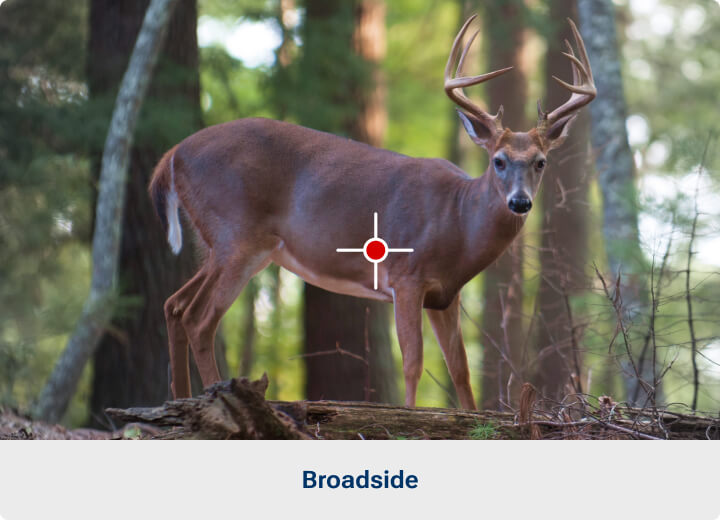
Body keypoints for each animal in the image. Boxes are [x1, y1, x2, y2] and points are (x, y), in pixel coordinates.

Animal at [148, 15, 595, 410]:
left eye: (541, 162)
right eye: (498, 161)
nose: (520, 202)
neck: (458, 220)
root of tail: (172, 155)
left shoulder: (445, 295)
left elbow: (460, 369)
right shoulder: (407, 275)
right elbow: (413, 362)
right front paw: (411, 414)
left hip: (224, 243)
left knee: (174, 304)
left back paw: (179, 399)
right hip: (237, 234)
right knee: (199, 319)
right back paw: (215, 396)